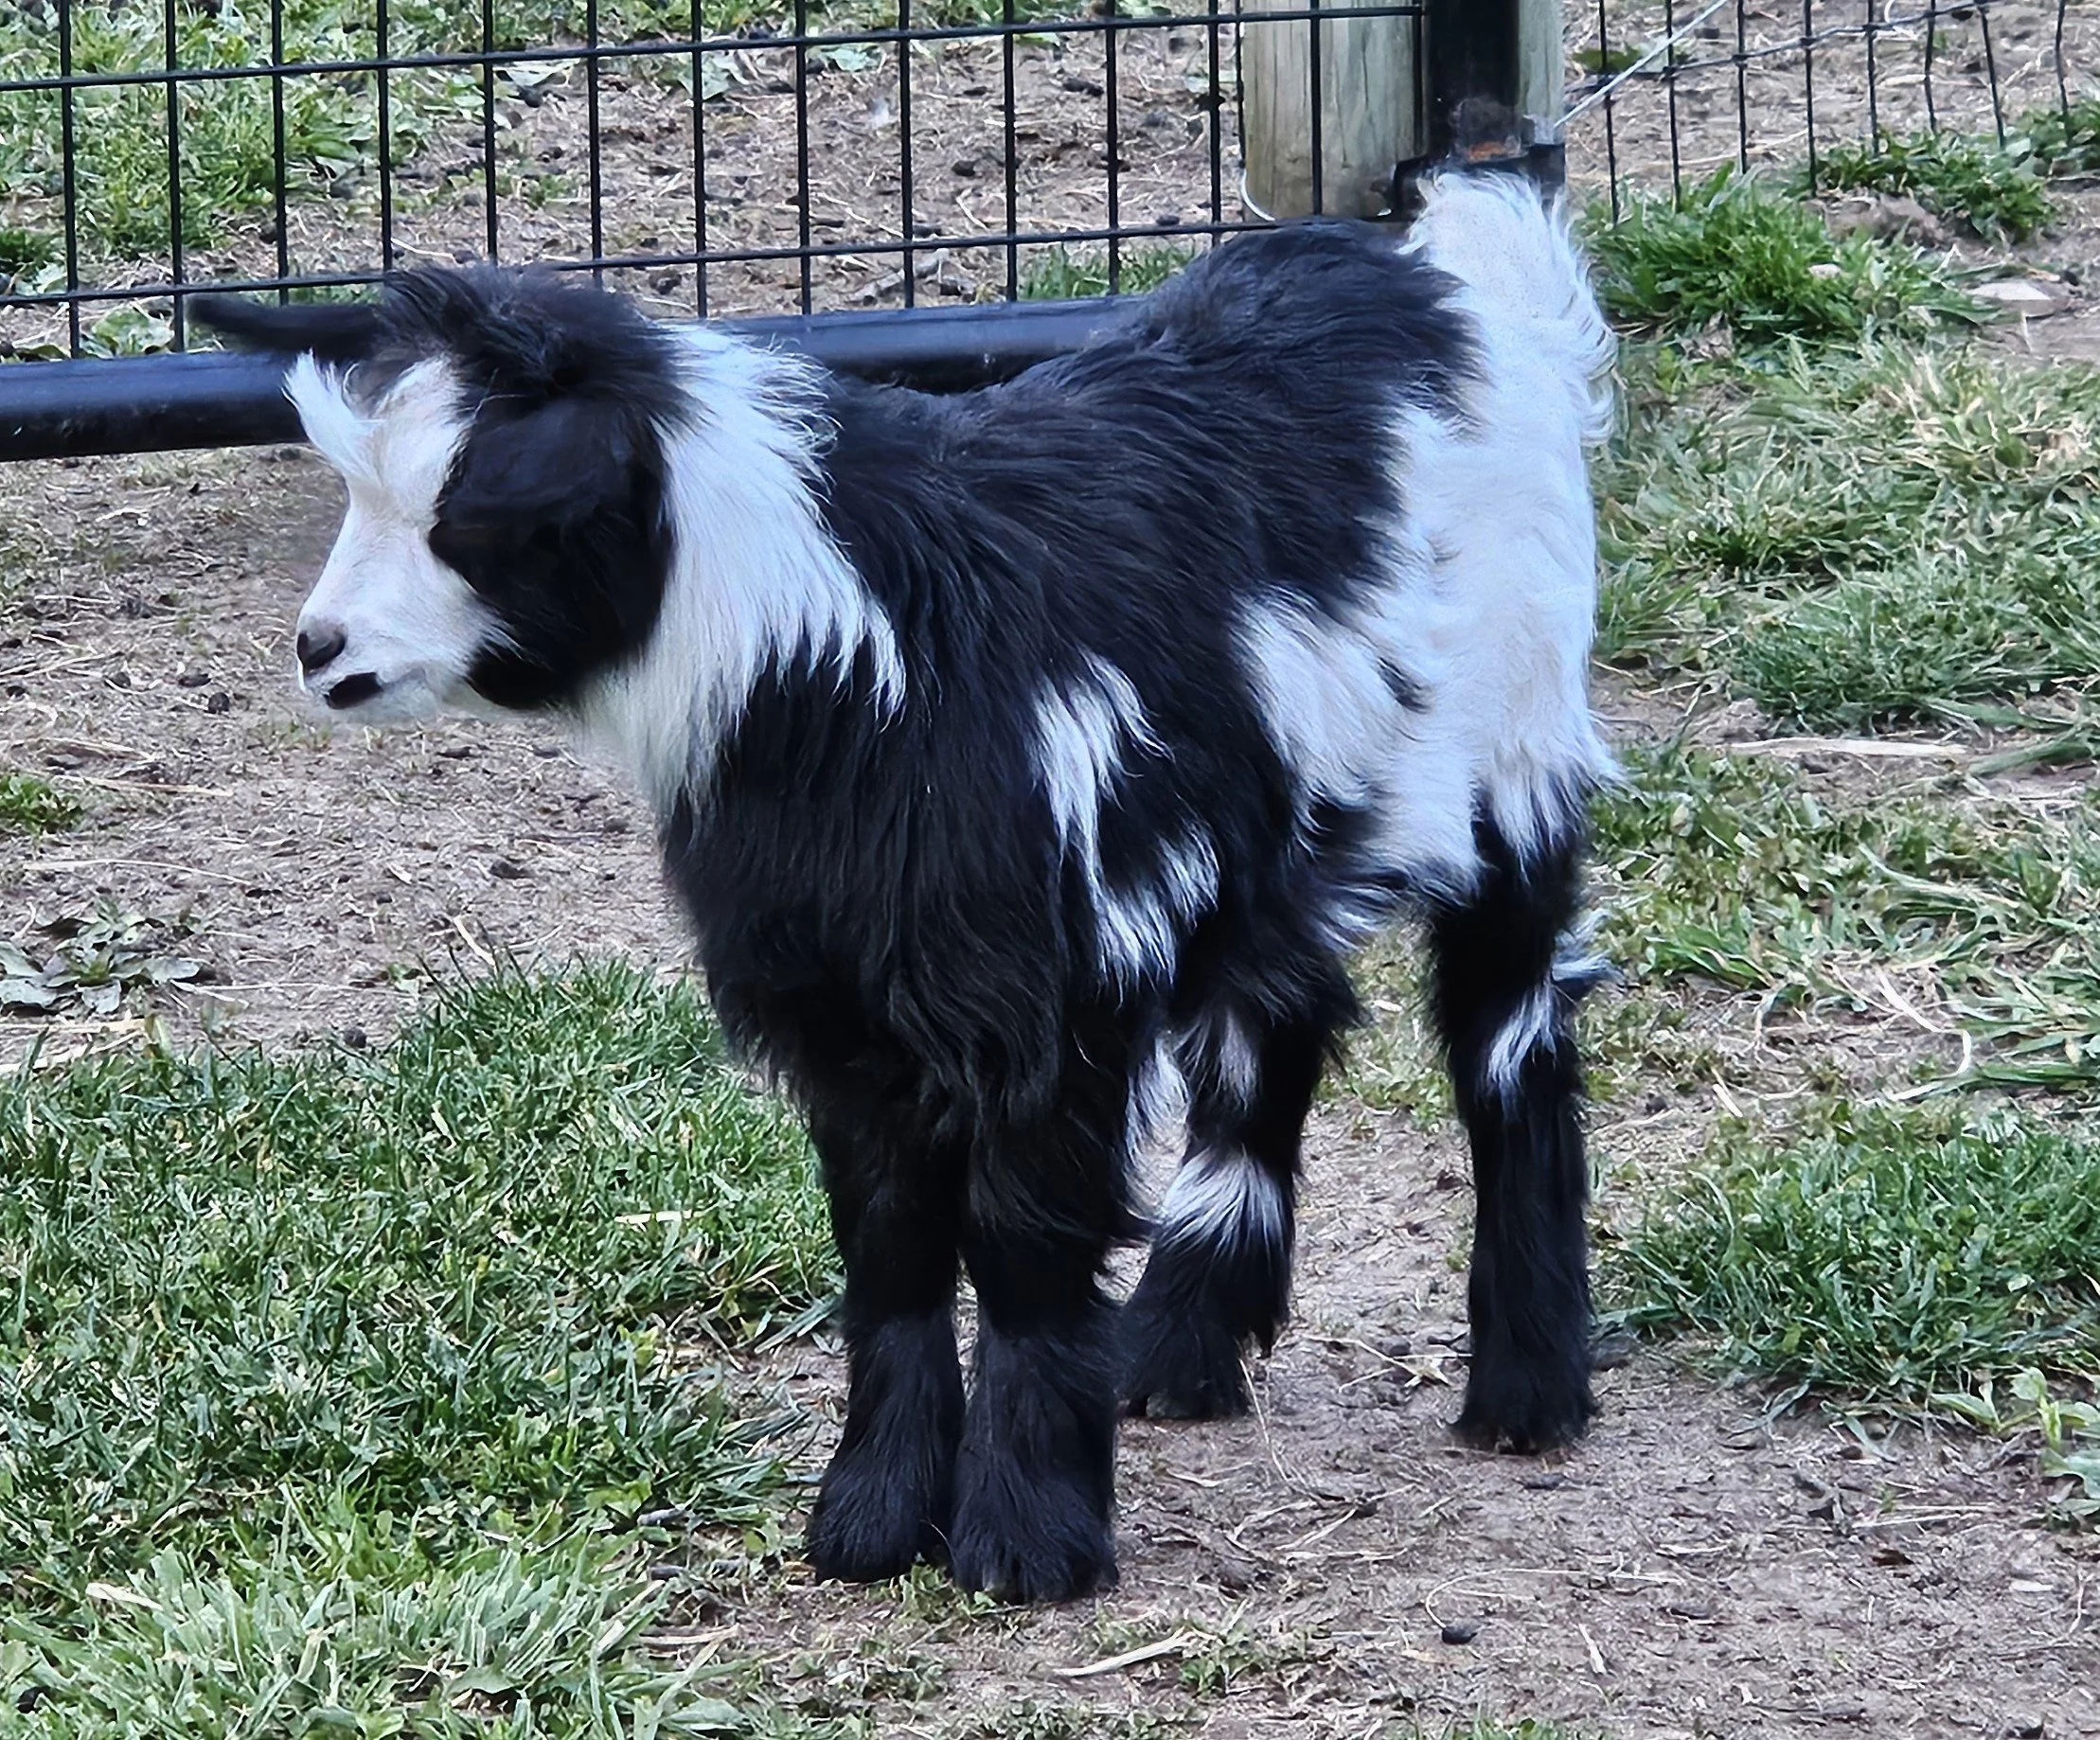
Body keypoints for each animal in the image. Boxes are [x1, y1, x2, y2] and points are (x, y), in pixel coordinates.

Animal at [199, 171, 1615, 1603]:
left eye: (470, 515)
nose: (320, 650)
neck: (853, 644)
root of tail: (1442, 262)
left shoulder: (1046, 989)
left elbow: (1024, 1250)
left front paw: (1028, 1540)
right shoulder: (842, 1002)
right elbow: (888, 1255)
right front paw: (872, 1522)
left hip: (1517, 741)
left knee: (1509, 1041)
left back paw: (1526, 1388)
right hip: (1294, 818)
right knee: (1277, 1019)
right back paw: (1178, 1348)